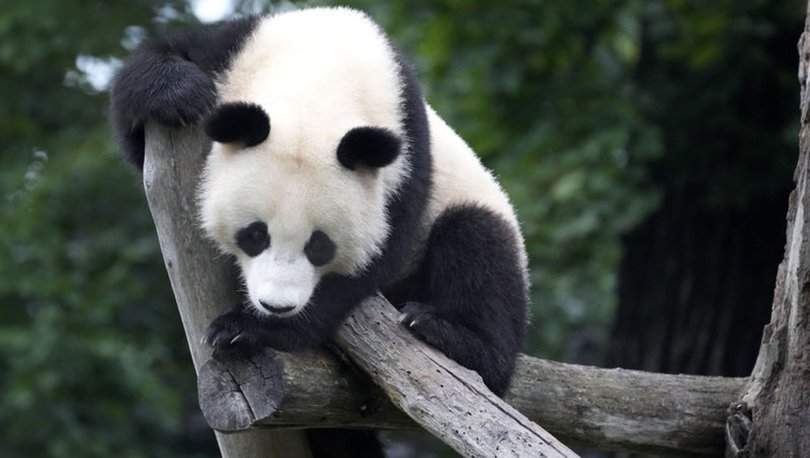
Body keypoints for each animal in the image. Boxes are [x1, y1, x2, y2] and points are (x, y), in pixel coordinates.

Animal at [111, 7, 528, 398]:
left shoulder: (406, 151)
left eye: (319, 245)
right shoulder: (232, 51)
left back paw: (442, 330)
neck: (317, 84)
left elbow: (377, 254)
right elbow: (152, 76)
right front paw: (179, 94)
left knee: (477, 247)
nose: (276, 306)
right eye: (255, 235)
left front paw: (248, 329)